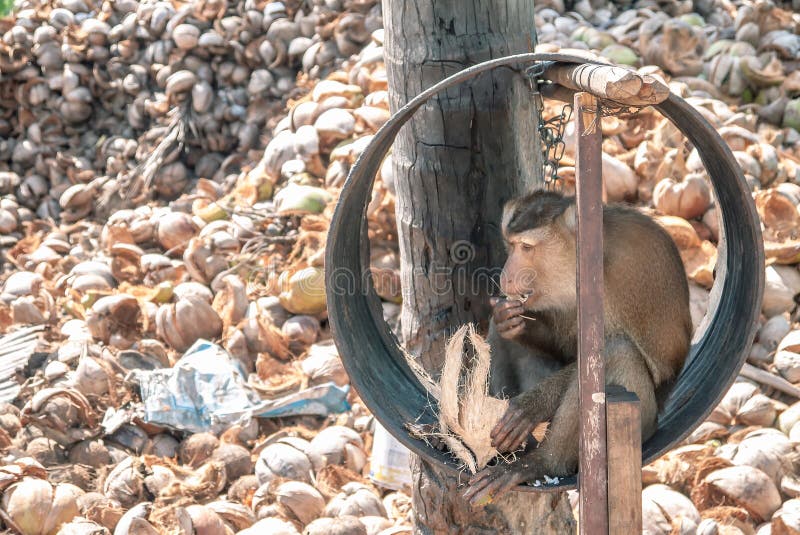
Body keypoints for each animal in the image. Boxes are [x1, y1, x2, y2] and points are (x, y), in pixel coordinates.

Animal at [463, 189, 692, 506]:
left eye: (526, 247)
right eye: (510, 244)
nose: (505, 276)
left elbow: (603, 357)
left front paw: (532, 406)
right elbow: (559, 344)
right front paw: (509, 320)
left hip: (643, 419)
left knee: (617, 353)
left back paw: (540, 463)